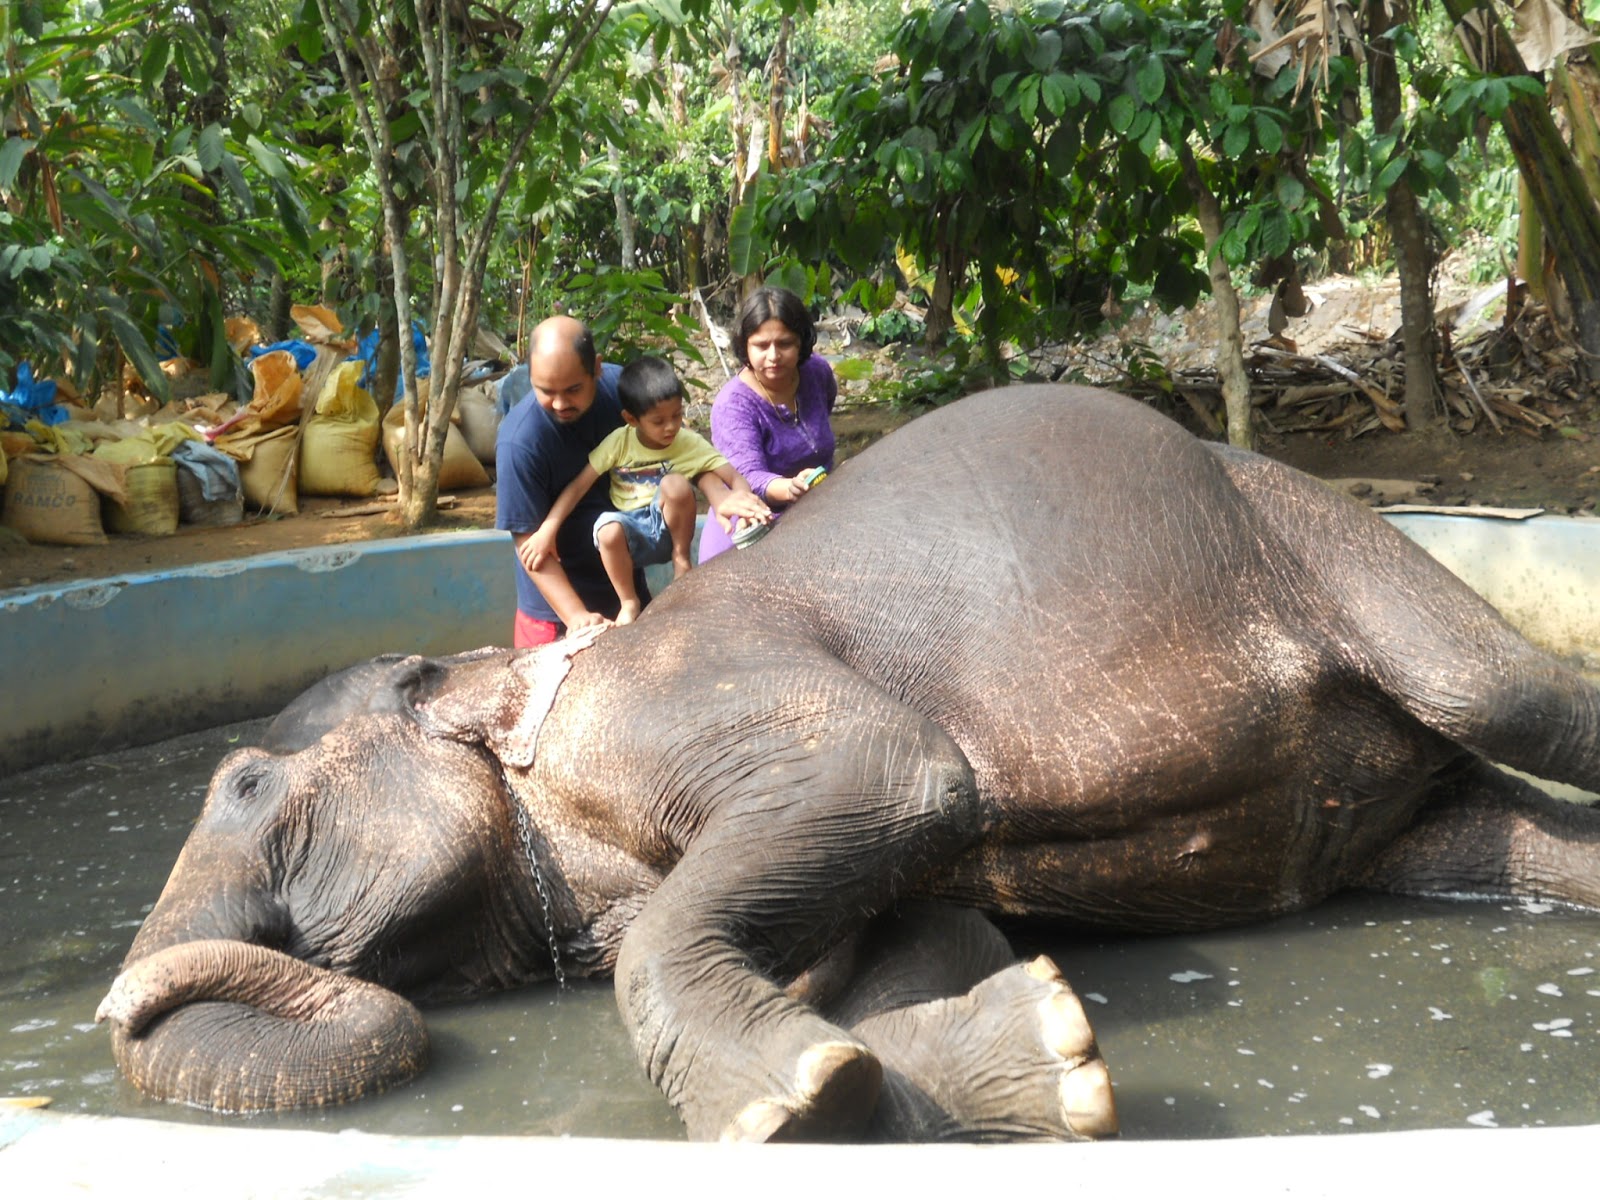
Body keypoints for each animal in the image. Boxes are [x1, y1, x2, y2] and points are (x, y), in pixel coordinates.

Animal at [98, 385, 1600, 1142]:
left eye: (243, 786)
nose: (108, 1003)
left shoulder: (666, 697)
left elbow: (895, 776)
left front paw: (789, 1109)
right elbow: (903, 933)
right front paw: (1030, 1058)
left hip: (1326, 537)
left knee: (1512, 697)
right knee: (1497, 839)